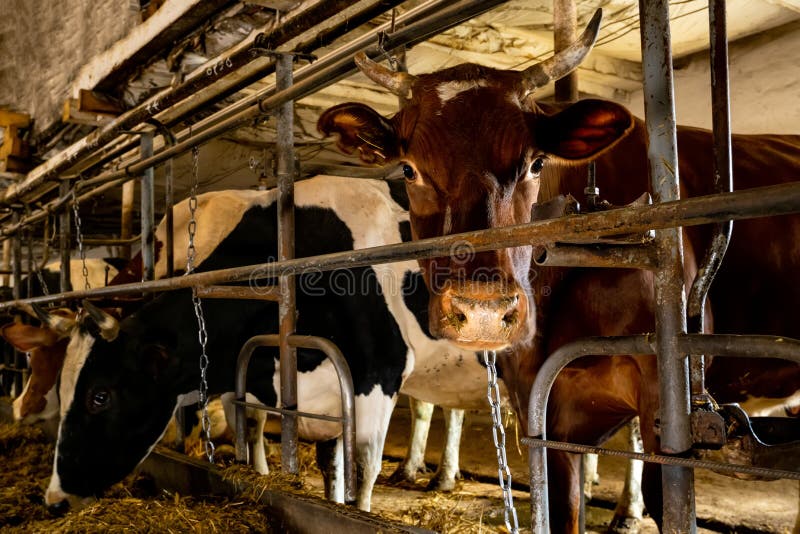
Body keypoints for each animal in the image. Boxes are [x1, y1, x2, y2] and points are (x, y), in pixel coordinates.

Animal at [316, 9, 800, 532]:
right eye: (408, 170)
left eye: (536, 163)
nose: (483, 312)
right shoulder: (540, 404)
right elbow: (562, 504)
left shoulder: (669, 397)